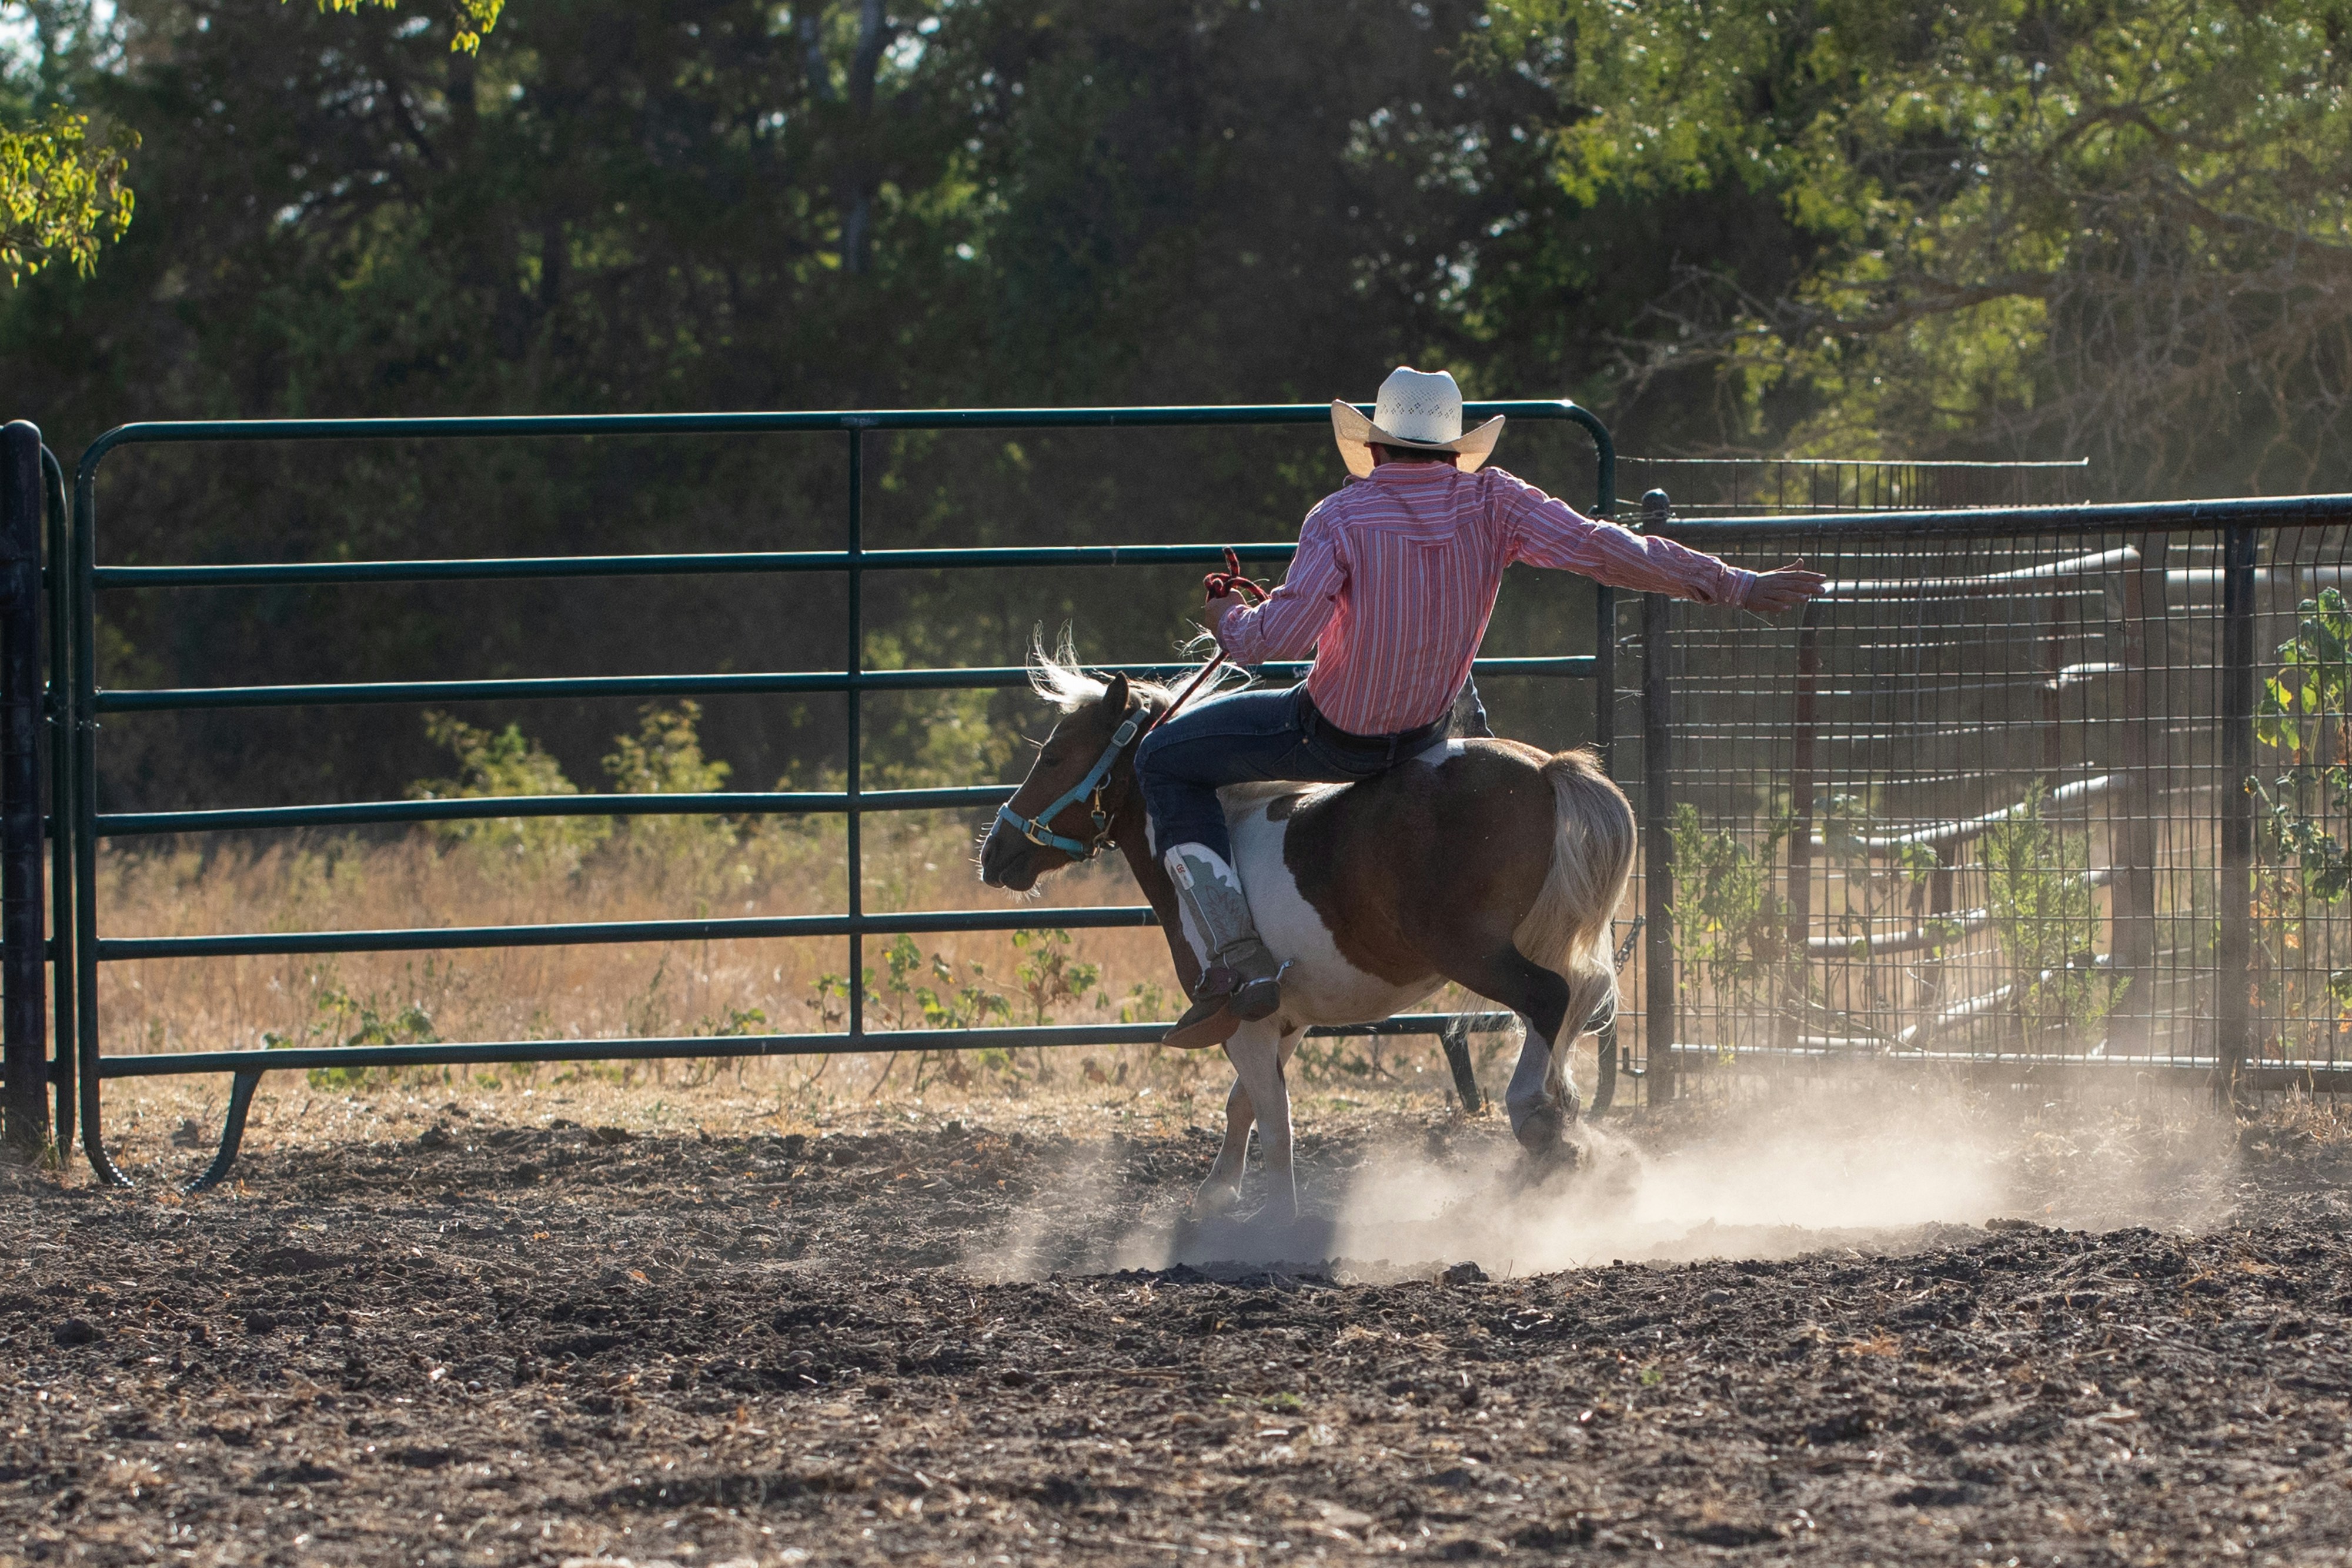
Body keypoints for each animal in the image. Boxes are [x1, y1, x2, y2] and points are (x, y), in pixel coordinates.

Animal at [977, 640, 1636, 1221]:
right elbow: (1243, 1103)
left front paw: (1275, 1217)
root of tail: (1546, 769)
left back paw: (1537, 1121)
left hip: (1475, 953)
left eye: (1054, 756)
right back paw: (1568, 1129)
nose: (995, 851)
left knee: (1549, 997)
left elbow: (1275, 1121)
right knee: (1575, 1005)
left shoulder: (1244, 1017)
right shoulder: (1286, 1017)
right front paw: (1218, 1192)